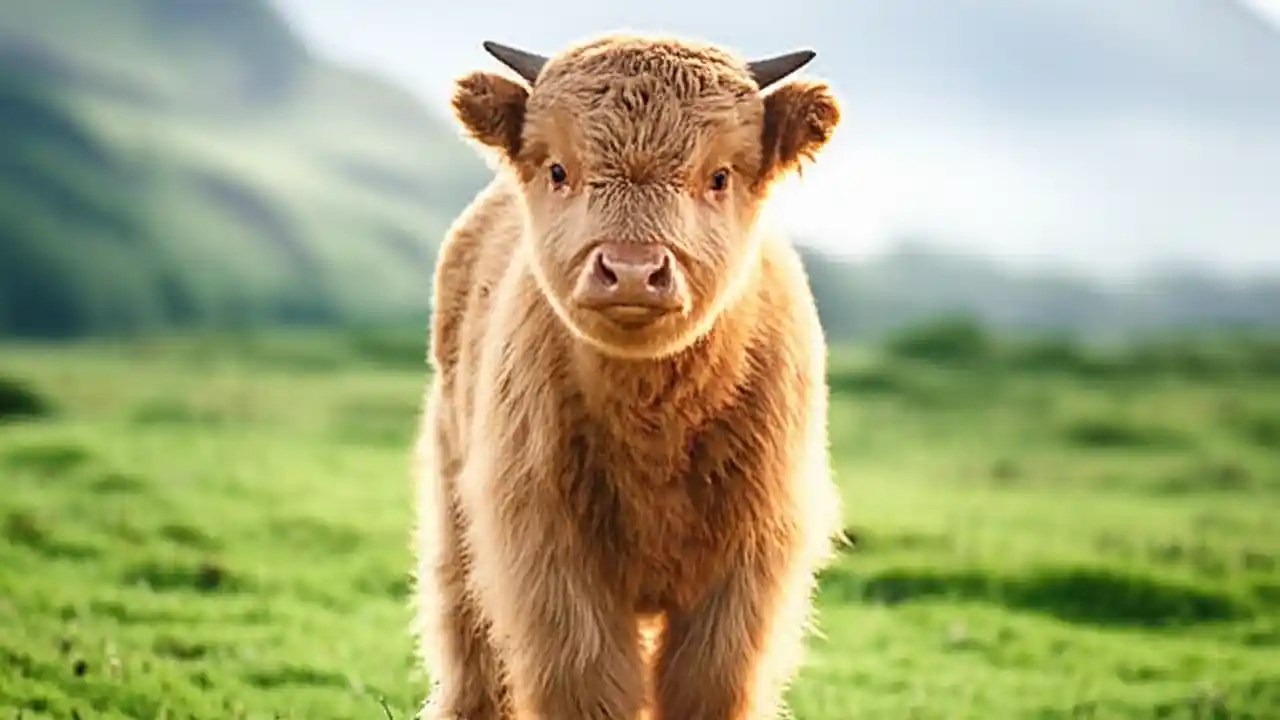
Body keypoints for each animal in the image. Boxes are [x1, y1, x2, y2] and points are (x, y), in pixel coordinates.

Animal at [411, 33, 845, 720]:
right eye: (559, 170)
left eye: (718, 176)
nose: (633, 271)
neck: (654, 428)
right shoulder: (545, 554)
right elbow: (585, 681)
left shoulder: (749, 566)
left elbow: (708, 684)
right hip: (455, 499)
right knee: (467, 635)